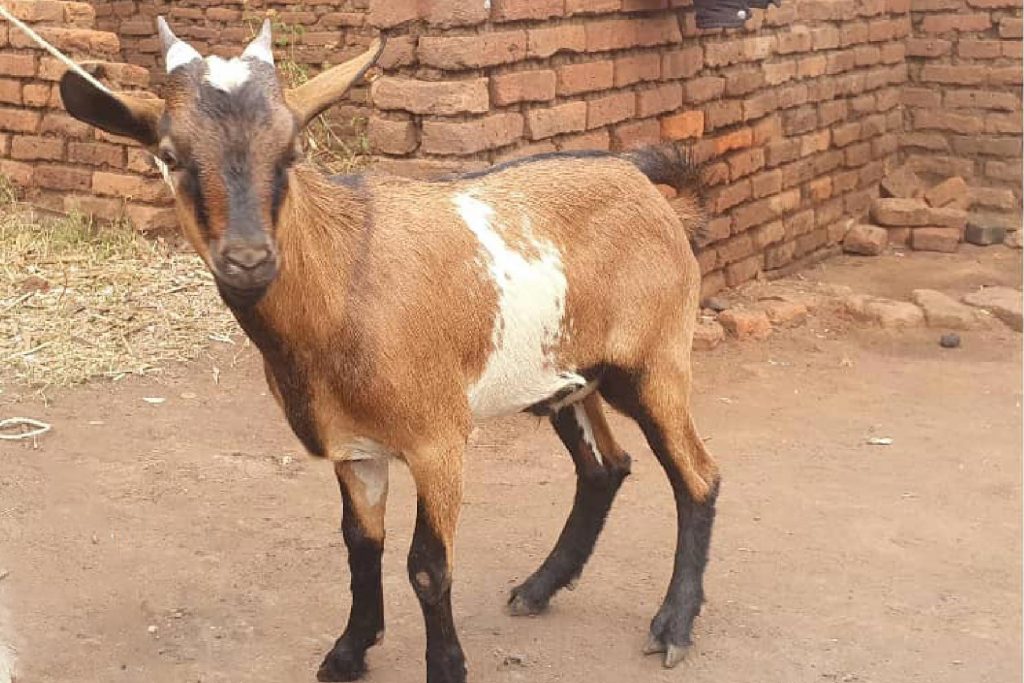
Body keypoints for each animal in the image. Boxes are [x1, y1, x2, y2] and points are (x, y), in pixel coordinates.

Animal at [59, 19, 721, 683]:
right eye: (170, 157)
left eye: (292, 151)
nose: (248, 259)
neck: (343, 278)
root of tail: (650, 190)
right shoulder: (354, 448)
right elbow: (360, 544)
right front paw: (349, 651)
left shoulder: (439, 440)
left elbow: (427, 565)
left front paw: (446, 666)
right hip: (568, 378)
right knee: (605, 467)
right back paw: (539, 588)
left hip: (654, 363)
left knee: (698, 475)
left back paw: (673, 625)